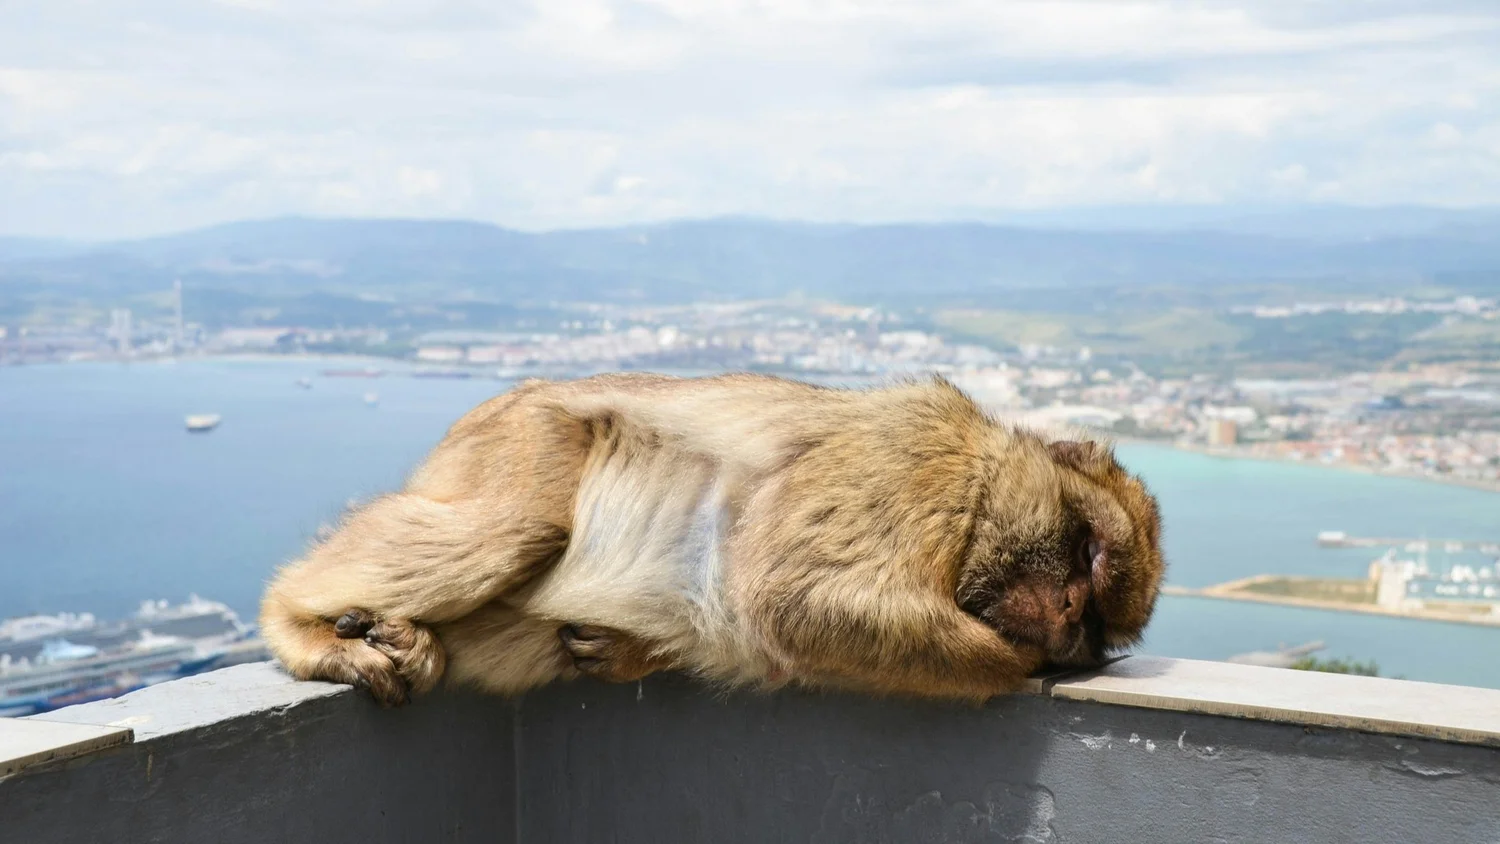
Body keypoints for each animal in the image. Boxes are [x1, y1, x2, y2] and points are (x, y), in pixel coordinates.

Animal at [258, 372, 1164, 707]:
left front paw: (625, 652)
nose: (1068, 612)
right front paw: (1015, 667)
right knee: (513, 530)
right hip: (526, 439)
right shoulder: (917, 463)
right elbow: (793, 598)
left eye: (1093, 621)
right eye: (1086, 550)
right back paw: (296, 621)